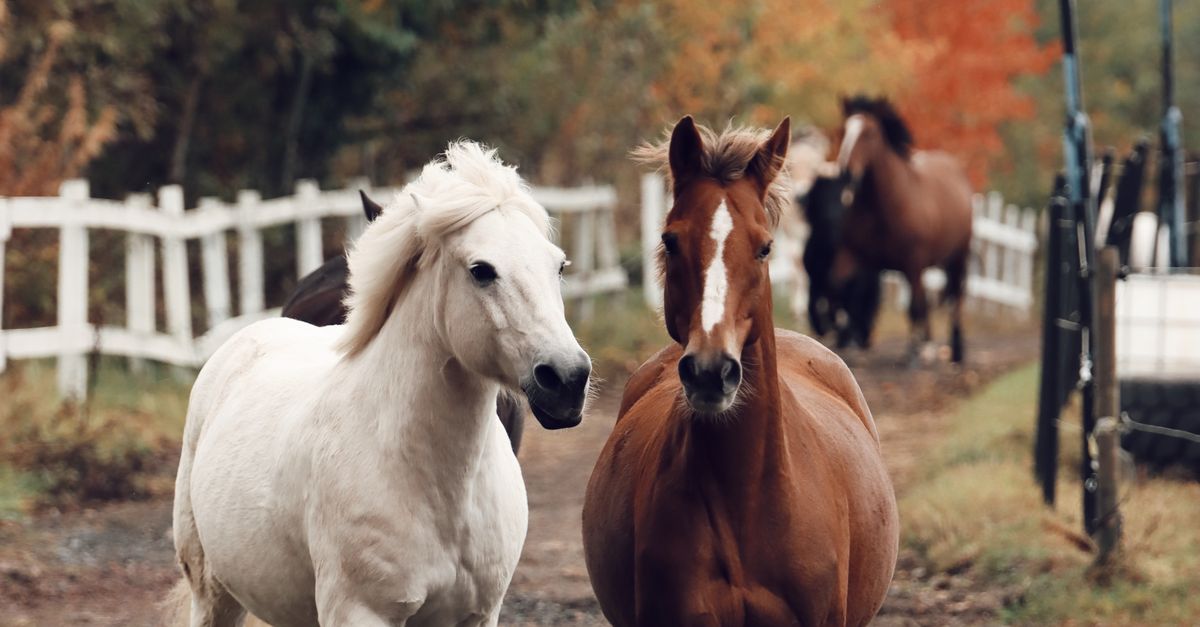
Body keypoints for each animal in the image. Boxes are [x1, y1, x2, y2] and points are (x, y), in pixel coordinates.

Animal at [834, 95, 973, 362]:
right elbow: (841, 290)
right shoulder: (852, 256)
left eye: (869, 133)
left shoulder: (913, 262)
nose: (846, 172)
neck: (884, 206)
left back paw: (954, 350)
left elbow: (916, 306)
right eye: (844, 130)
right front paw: (848, 336)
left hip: (957, 258)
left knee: (955, 298)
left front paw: (921, 349)